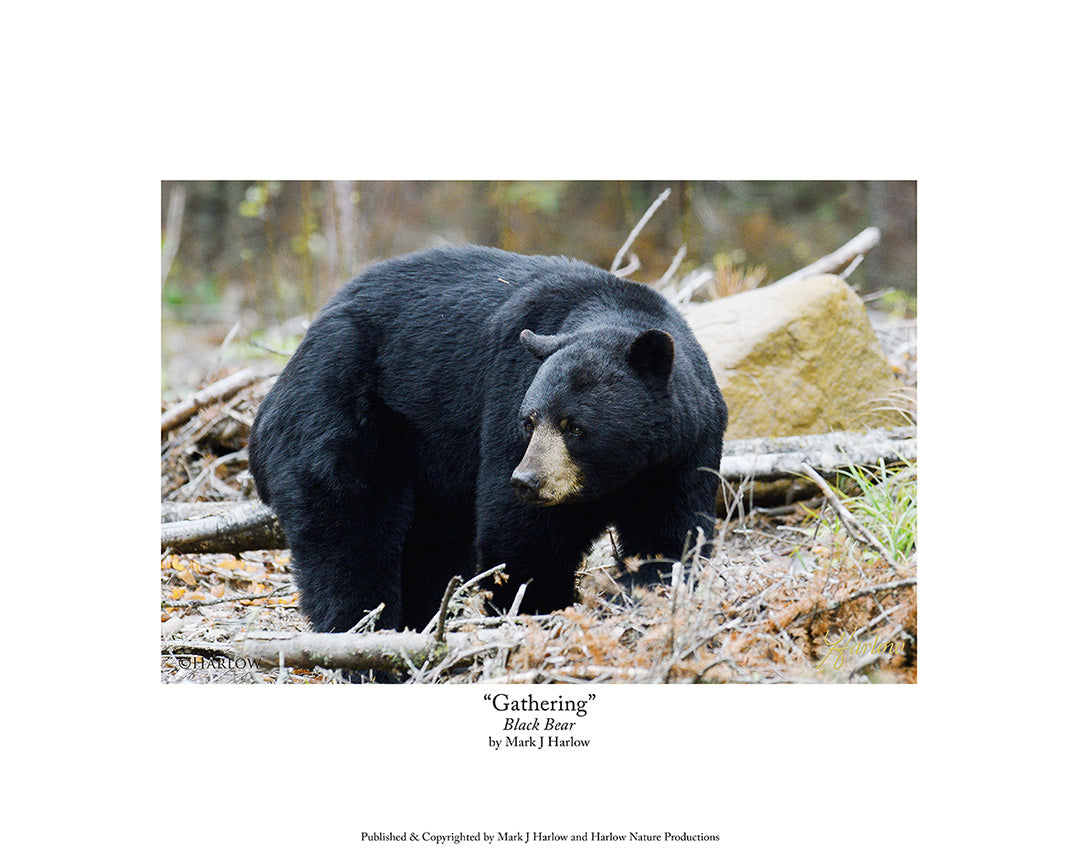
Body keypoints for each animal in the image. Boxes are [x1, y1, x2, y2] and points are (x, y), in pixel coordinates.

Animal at [247, 245, 727, 633]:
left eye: (575, 426)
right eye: (529, 421)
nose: (528, 481)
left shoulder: (683, 450)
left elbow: (669, 533)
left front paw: (643, 594)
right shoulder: (509, 391)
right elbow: (523, 534)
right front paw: (535, 608)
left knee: (431, 543)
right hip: (336, 404)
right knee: (348, 520)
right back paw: (366, 634)